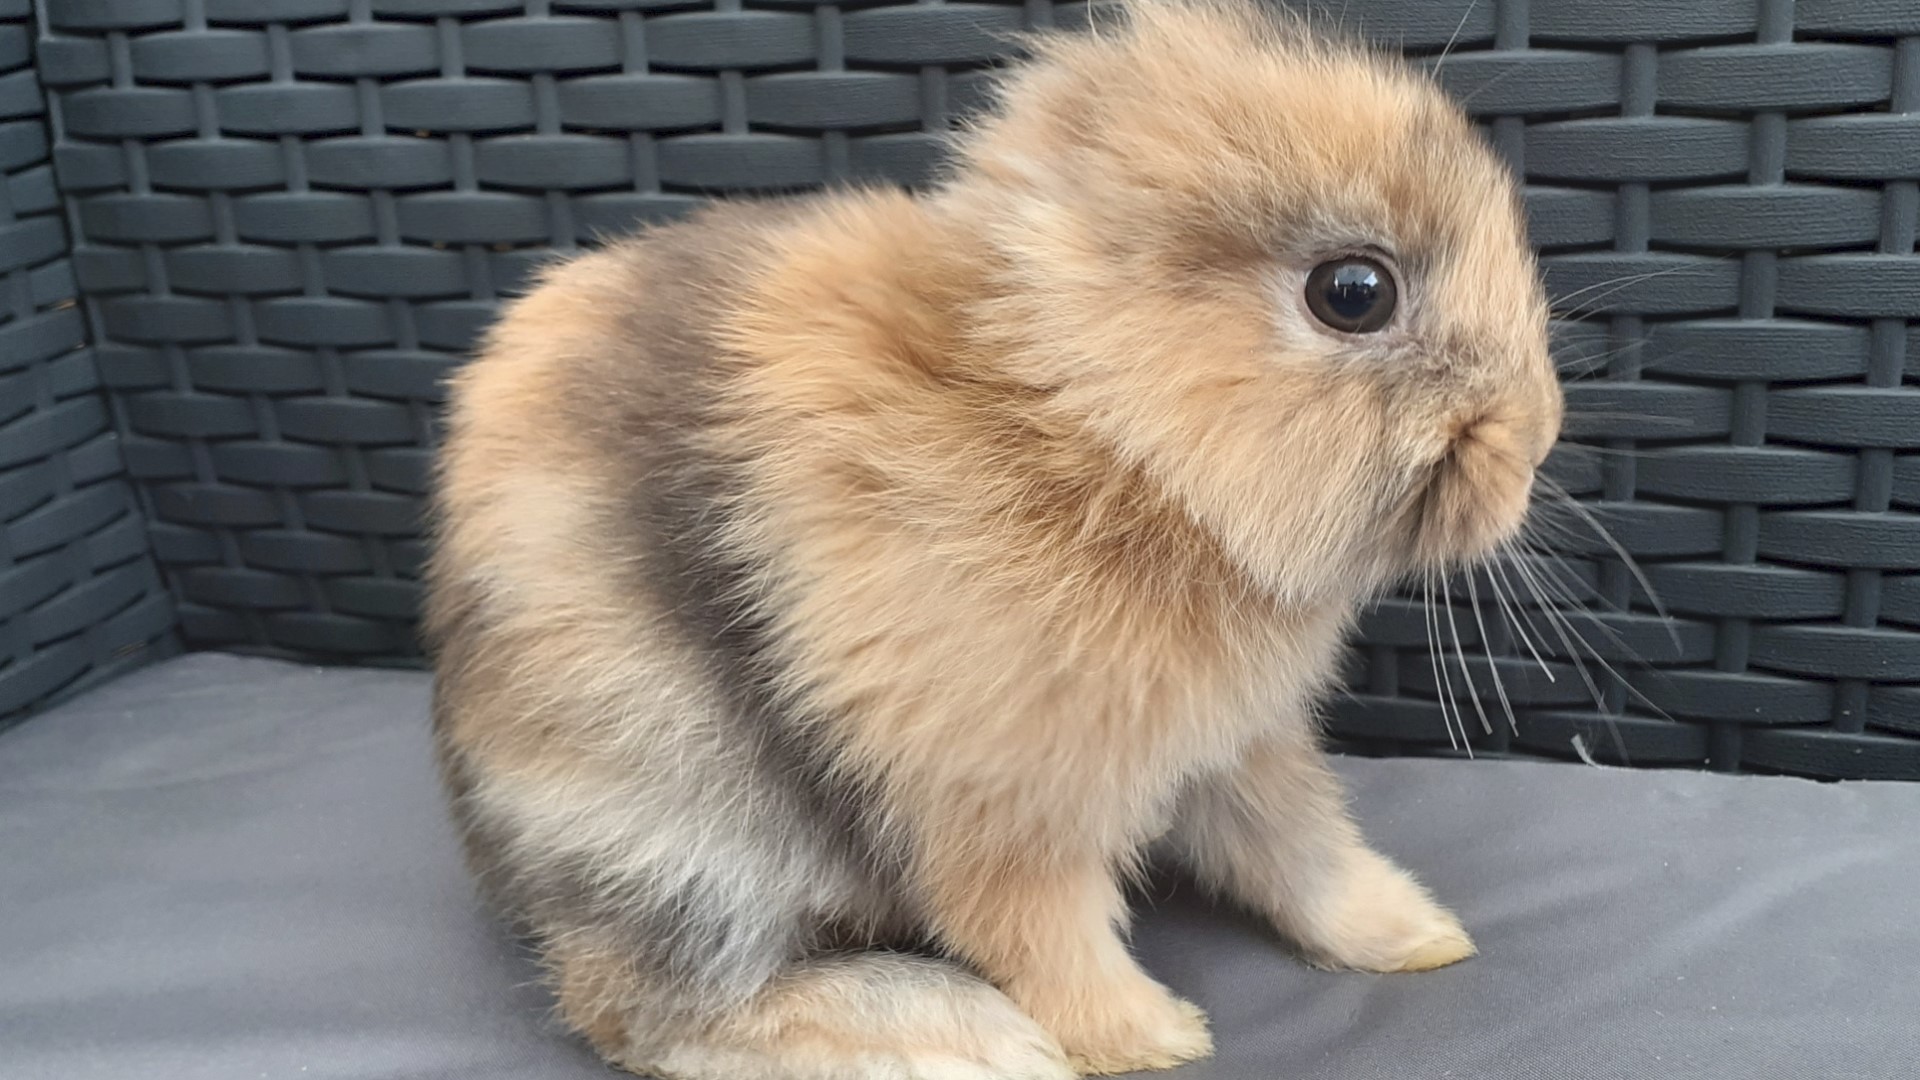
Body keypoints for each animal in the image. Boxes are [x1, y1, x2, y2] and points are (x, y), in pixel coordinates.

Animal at [424, 0, 1562, 1077]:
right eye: (1353, 293)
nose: (1538, 435)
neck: (1098, 430)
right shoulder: (1002, 806)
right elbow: (1044, 936)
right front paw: (1149, 1036)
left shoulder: (1238, 747)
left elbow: (1302, 852)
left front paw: (1416, 935)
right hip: (680, 826)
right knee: (650, 1005)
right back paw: (966, 1039)